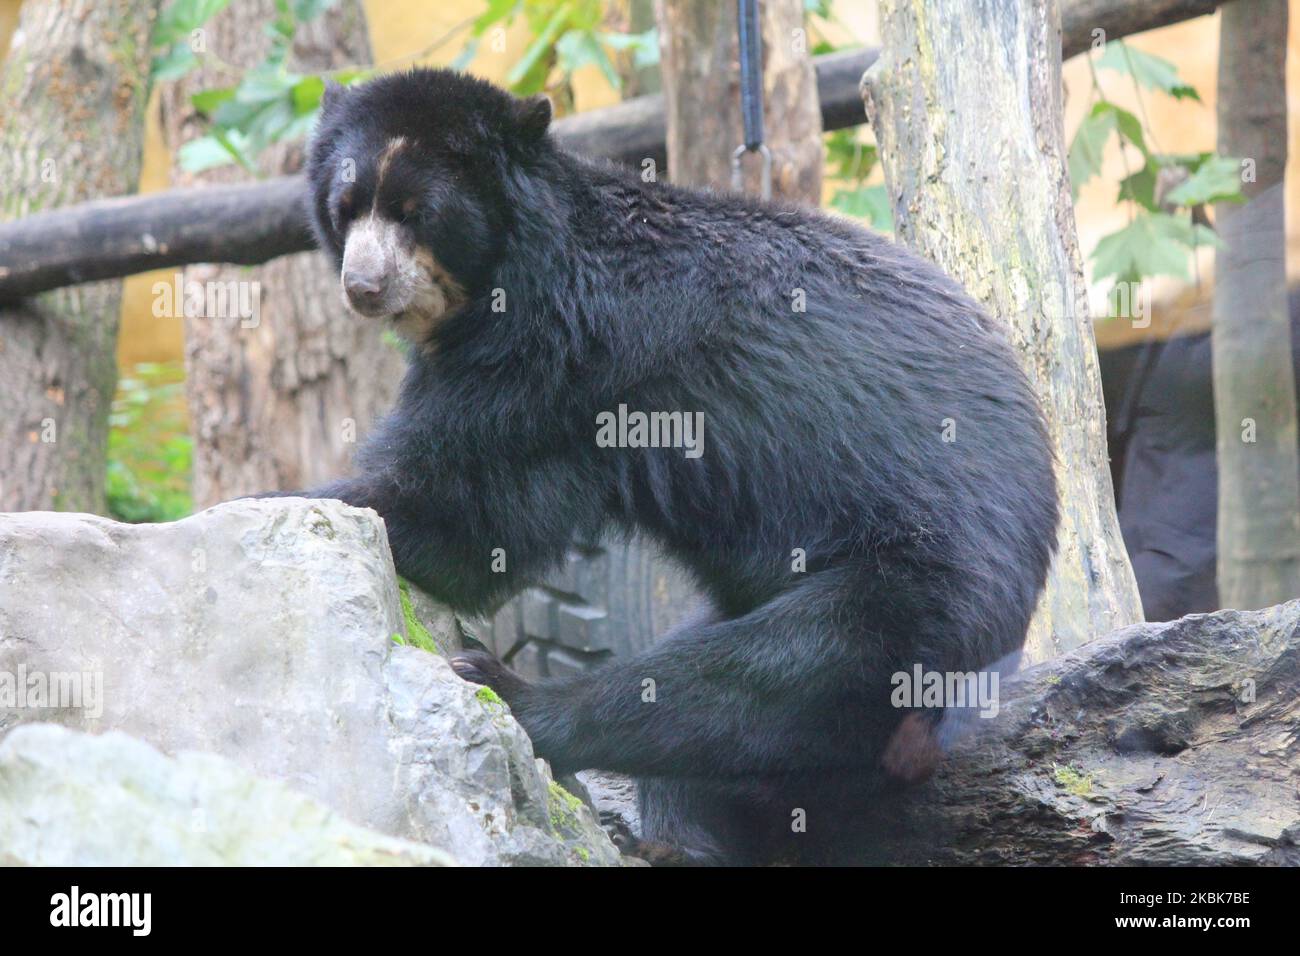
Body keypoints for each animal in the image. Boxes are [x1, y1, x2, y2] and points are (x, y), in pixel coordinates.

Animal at [276, 67, 1059, 865]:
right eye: (345, 208)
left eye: (418, 213)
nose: (363, 285)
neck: (506, 270)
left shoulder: (558, 358)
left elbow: (464, 510)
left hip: (924, 586)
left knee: (764, 678)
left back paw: (518, 698)